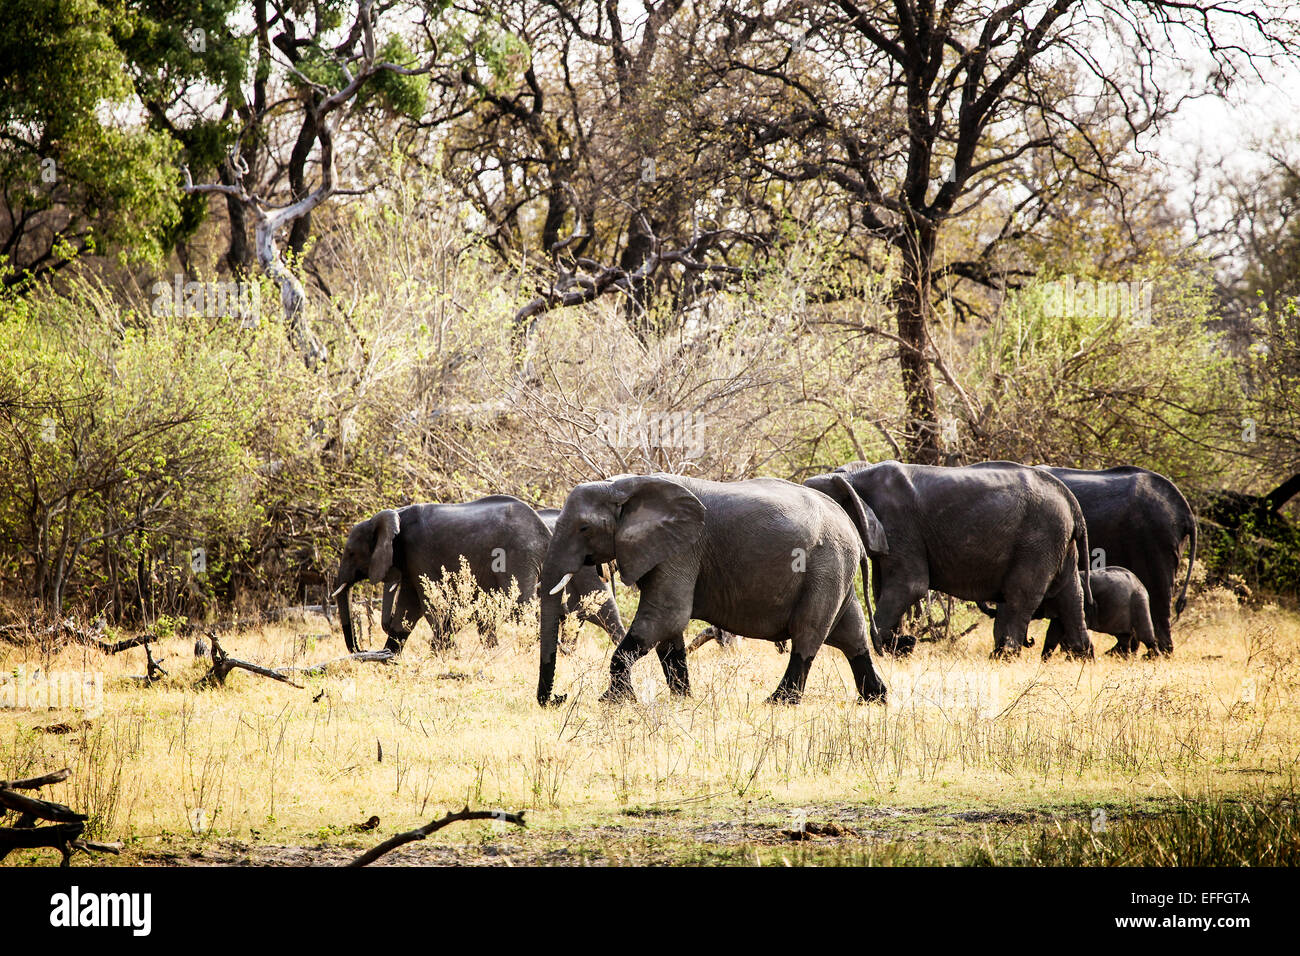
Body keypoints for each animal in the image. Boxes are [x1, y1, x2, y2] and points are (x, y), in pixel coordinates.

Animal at [333, 496, 625, 654]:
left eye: (350, 553)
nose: (362, 650)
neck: (395, 515)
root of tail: (540, 526)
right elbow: (409, 608)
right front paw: (390, 656)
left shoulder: (419, 554)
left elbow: (430, 604)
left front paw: (442, 653)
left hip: (521, 554)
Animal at [536, 474, 887, 707]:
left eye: (584, 528)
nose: (558, 697)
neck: (625, 486)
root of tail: (852, 529)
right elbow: (669, 631)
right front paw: (683, 700)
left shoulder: (682, 550)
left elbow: (667, 616)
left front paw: (613, 702)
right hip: (835, 571)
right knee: (851, 633)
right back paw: (874, 700)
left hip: (825, 567)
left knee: (809, 632)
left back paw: (777, 703)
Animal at [805, 461, 1094, 659]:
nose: (908, 642)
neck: (851, 477)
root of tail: (1072, 503)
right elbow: (884, 586)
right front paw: (897, 648)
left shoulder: (899, 524)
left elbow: (909, 585)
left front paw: (890, 649)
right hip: (1058, 542)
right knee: (1070, 594)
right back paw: (1081, 657)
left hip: (1040, 538)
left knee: (1020, 595)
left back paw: (1003, 657)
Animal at [978, 567, 1158, 658]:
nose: (1031, 640)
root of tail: (1142, 585)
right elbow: (1055, 632)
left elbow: (1060, 631)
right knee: (1124, 637)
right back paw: (1115, 655)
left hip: (1139, 603)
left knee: (1144, 635)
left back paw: (1150, 657)